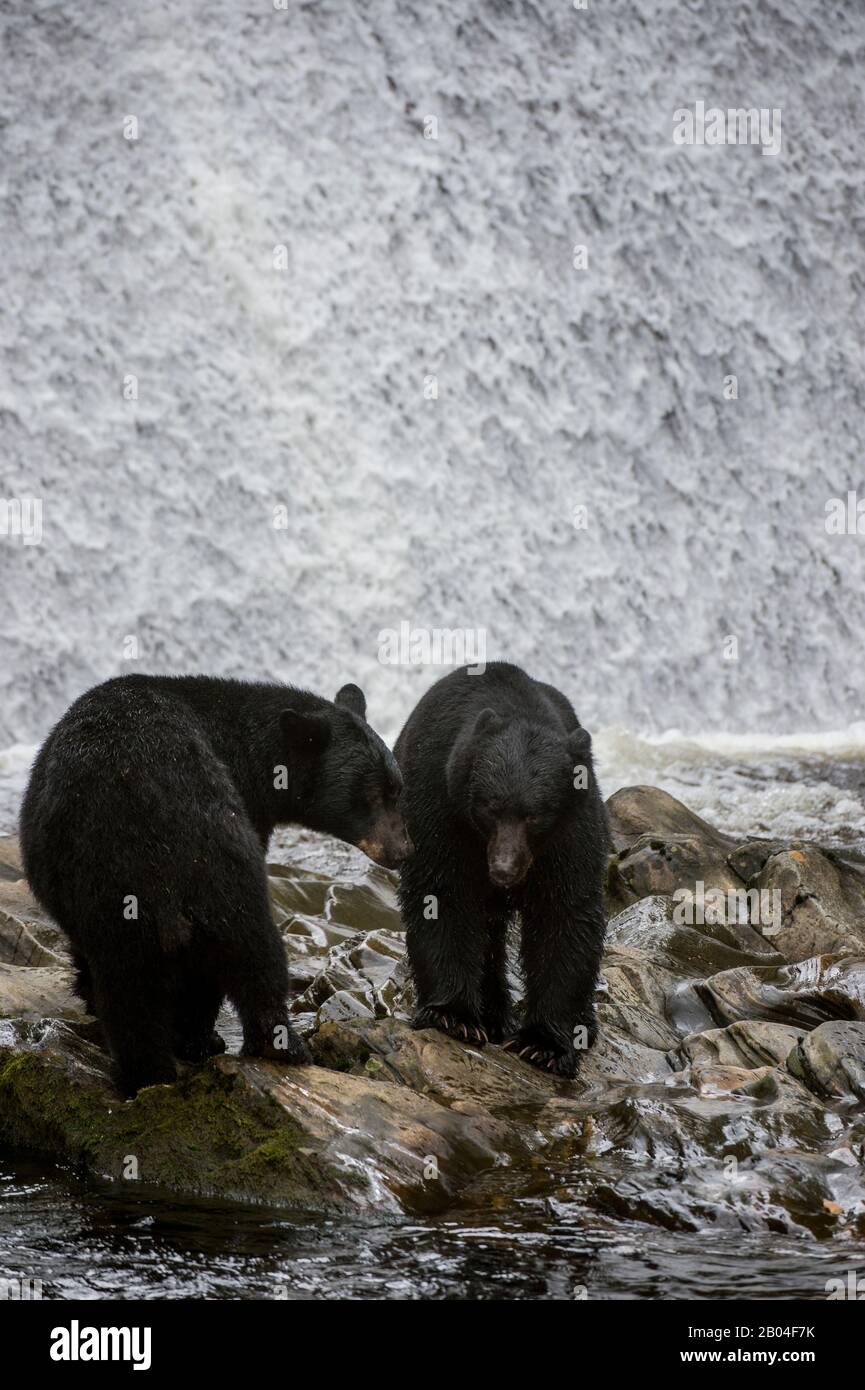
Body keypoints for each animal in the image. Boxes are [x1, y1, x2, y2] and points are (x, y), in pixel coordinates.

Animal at [20, 674, 411, 1096]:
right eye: (371, 795)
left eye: (397, 789)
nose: (404, 850)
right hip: (225, 868)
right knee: (254, 951)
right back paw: (270, 1045)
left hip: (115, 892)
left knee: (132, 991)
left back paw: (149, 1074)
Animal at [394, 662, 609, 1077]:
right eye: (490, 807)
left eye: (534, 815)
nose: (504, 869)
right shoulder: (439, 800)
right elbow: (441, 893)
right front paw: (454, 1016)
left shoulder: (573, 828)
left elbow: (565, 914)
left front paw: (544, 1044)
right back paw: (491, 1014)